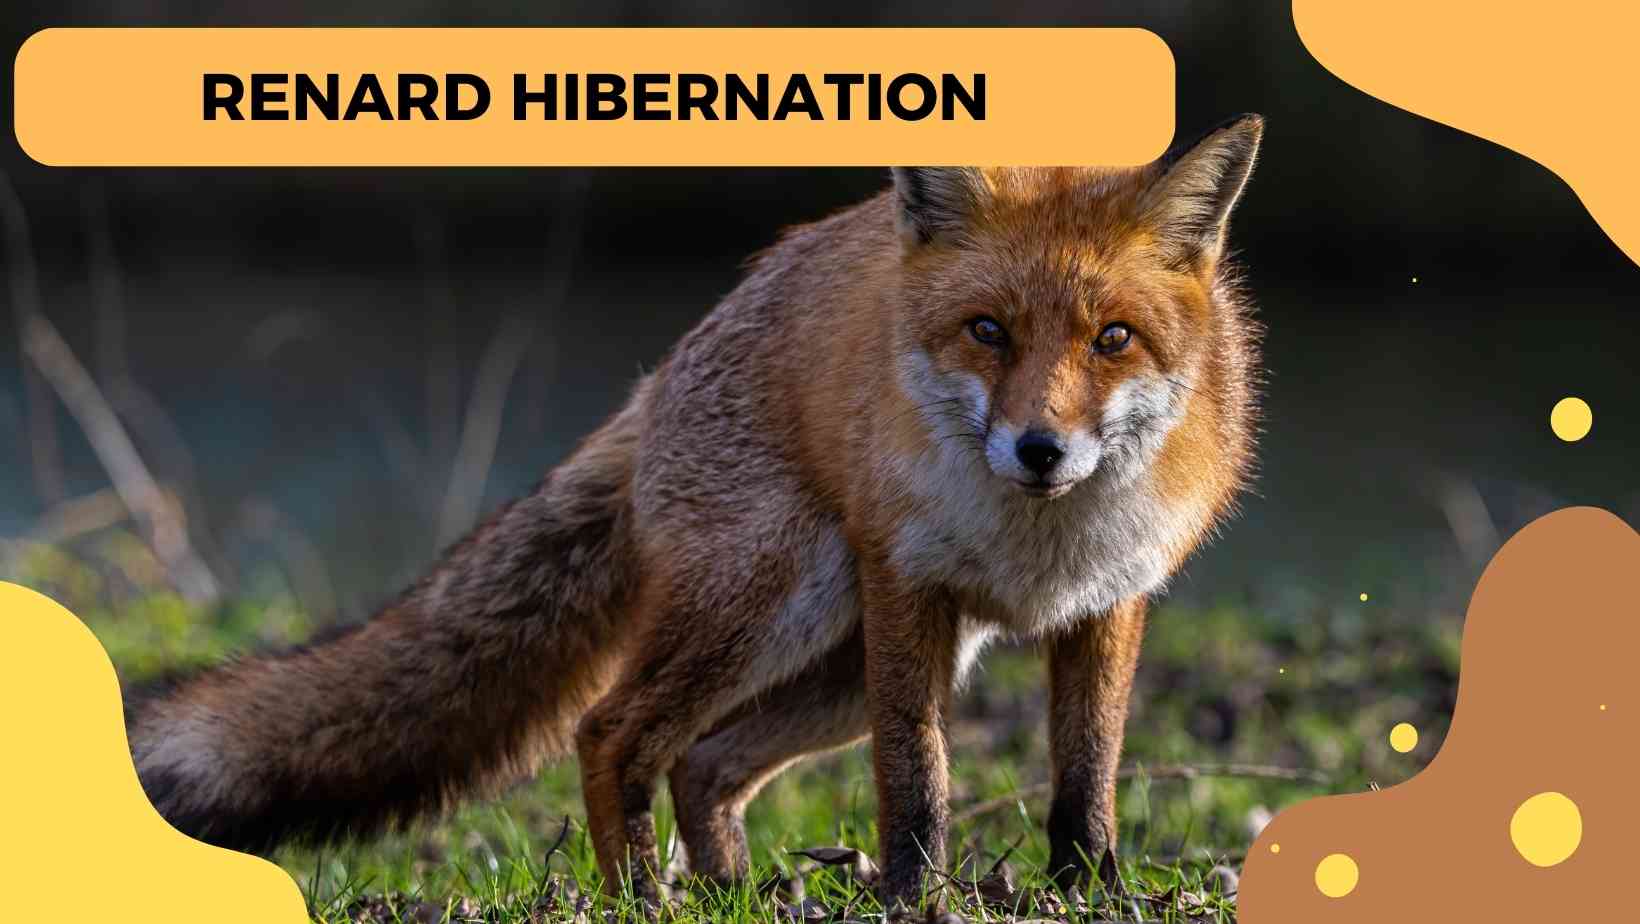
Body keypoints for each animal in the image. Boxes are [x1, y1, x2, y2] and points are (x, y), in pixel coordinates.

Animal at [127, 114, 1264, 907]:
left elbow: (1086, 776)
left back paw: (734, 891)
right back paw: (645, 897)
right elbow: (917, 780)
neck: (1038, 547)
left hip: (846, 663)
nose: (1039, 449)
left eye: (1112, 339)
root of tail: (666, 367)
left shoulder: (1107, 604)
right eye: (987, 330)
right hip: (784, 605)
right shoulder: (908, 585)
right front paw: (915, 898)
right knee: (612, 733)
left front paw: (1089, 890)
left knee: (706, 761)